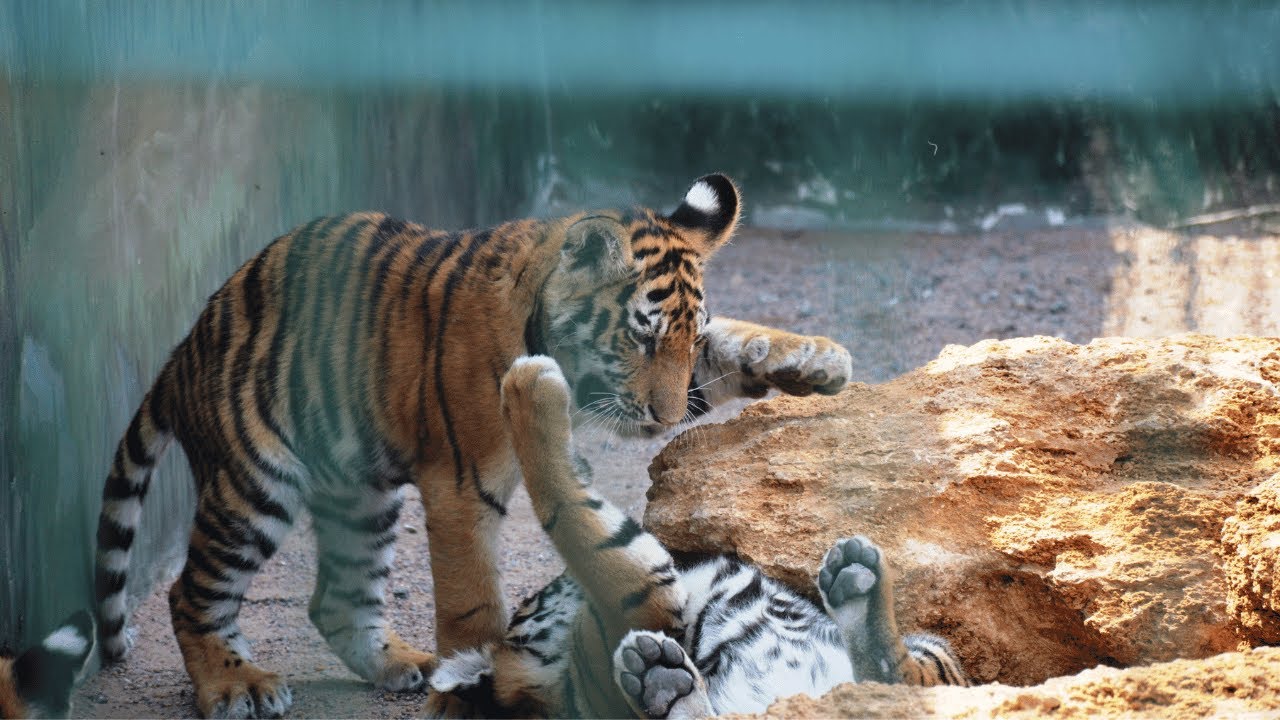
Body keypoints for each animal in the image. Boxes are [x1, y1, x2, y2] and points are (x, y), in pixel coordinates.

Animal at [93, 174, 855, 719]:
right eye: (640, 334)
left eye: (687, 337)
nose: (666, 421)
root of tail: (188, 343)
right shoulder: (462, 484)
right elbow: (472, 605)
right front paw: (467, 680)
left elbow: (730, 350)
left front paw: (817, 360)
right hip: (254, 484)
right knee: (192, 592)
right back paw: (235, 687)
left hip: (359, 495)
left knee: (338, 598)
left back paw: (401, 665)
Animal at [427, 356, 969, 718]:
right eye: (535, 600)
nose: (556, 583)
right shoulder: (640, 599)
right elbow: (566, 512)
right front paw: (526, 385)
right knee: (898, 681)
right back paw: (663, 683)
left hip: (937, 654)